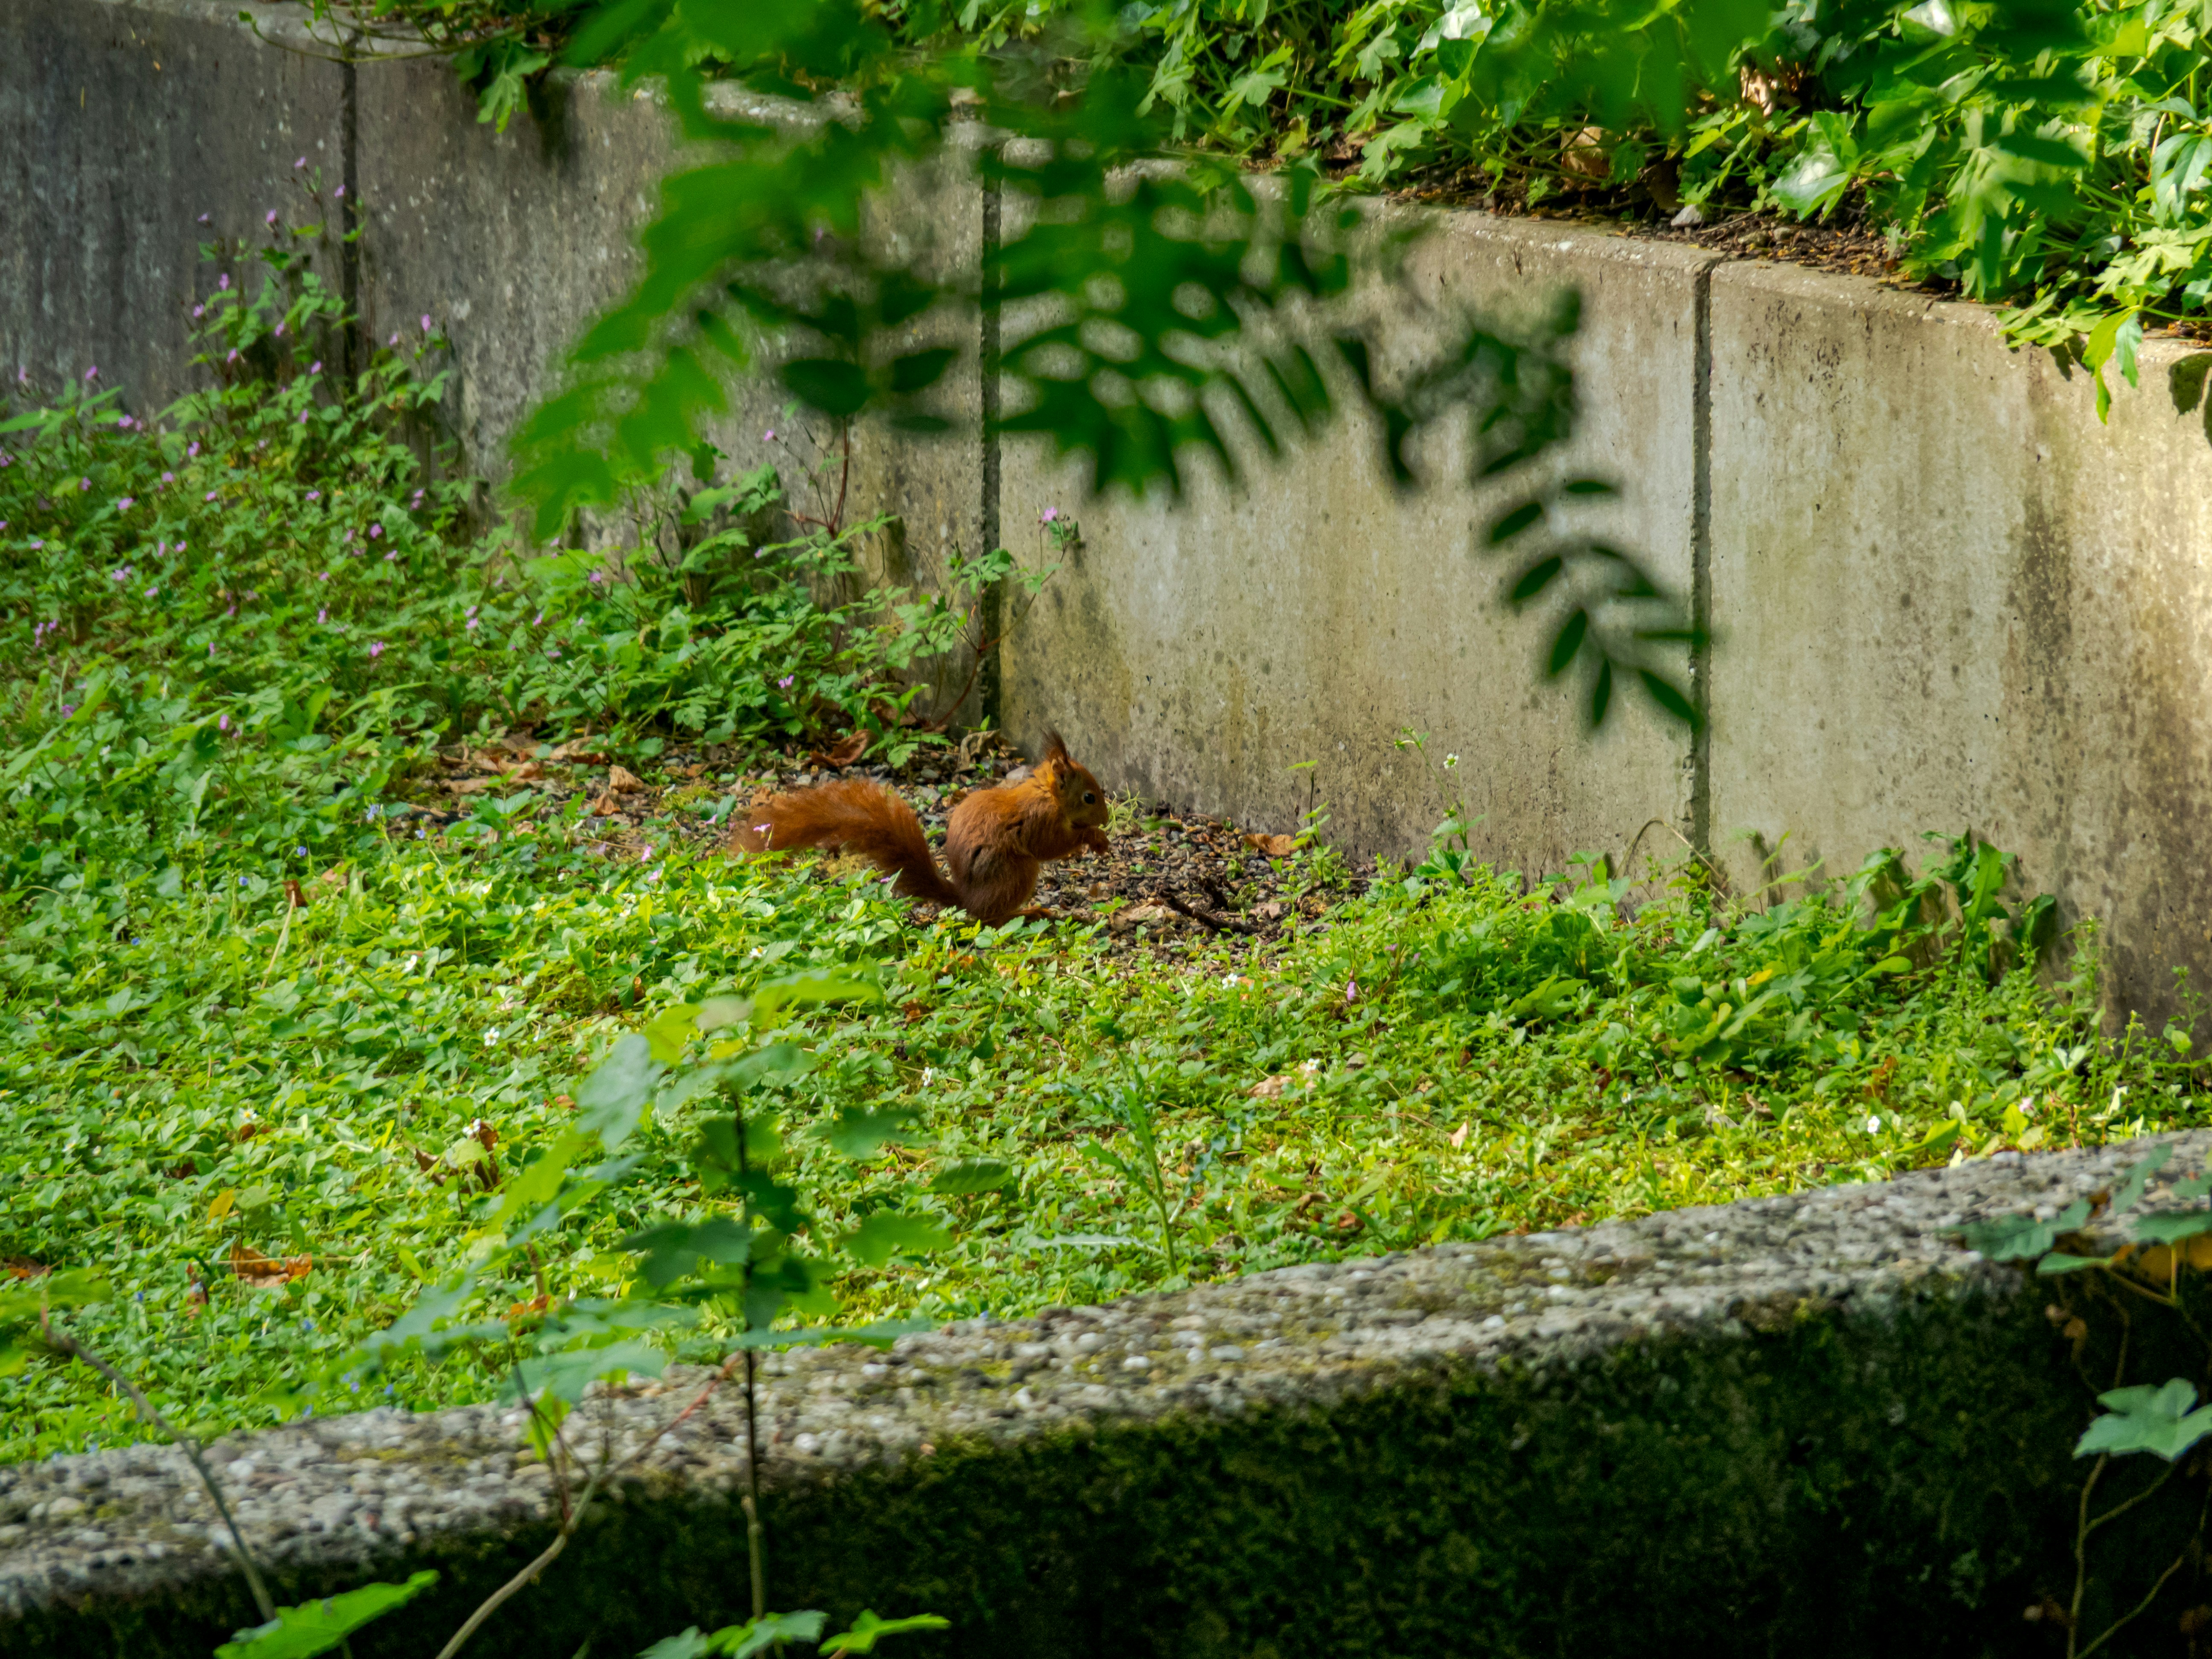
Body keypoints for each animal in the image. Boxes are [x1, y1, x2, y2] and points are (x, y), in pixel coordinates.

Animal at [727, 731, 1111, 925]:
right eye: (1089, 797)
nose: (1107, 819)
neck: (1047, 794)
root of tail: (965, 898)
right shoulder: (1037, 820)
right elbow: (1050, 846)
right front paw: (1092, 837)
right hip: (1017, 871)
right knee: (991, 918)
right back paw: (1029, 913)